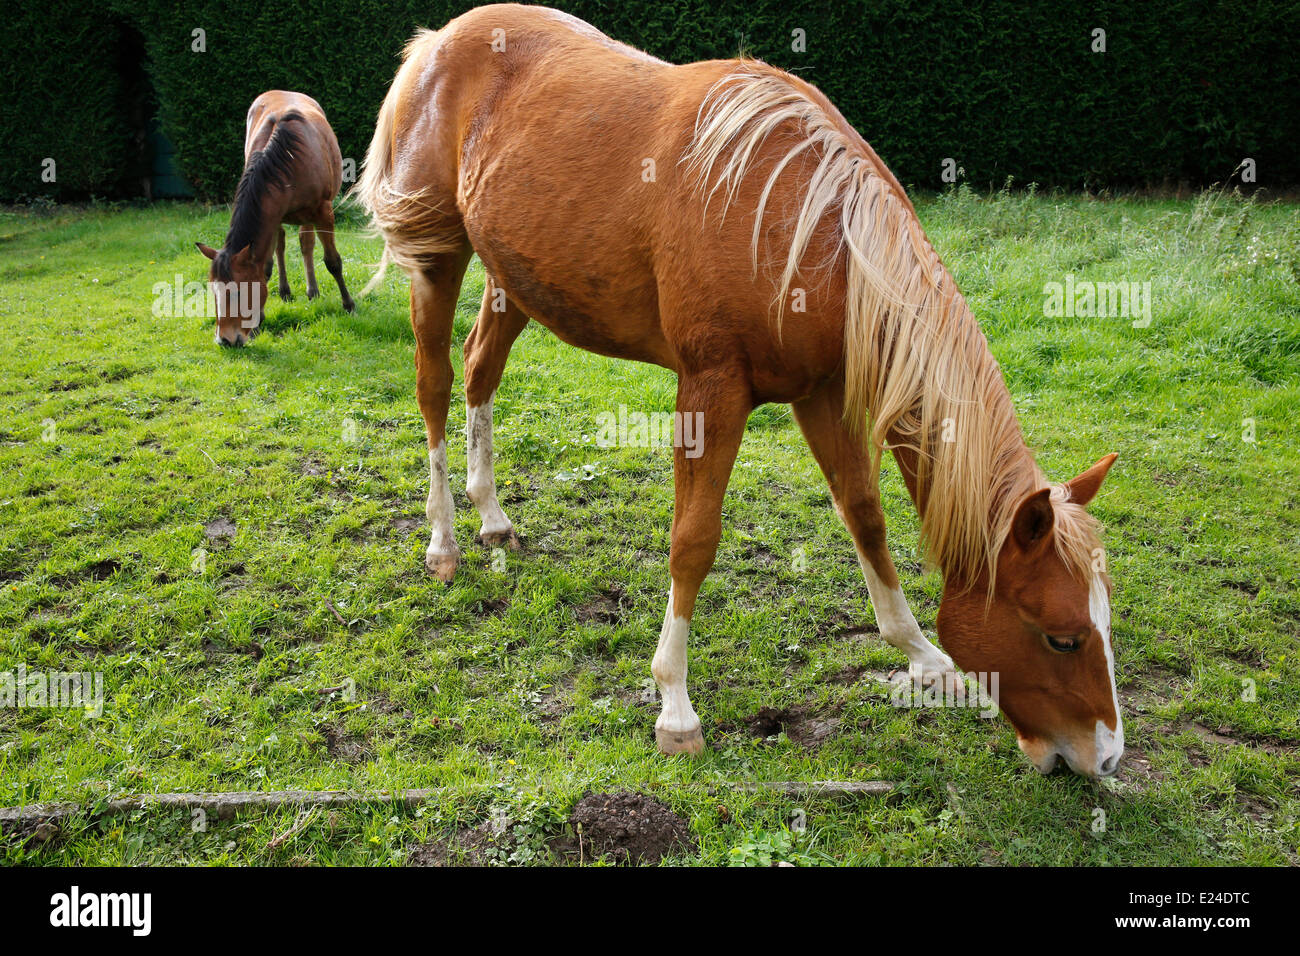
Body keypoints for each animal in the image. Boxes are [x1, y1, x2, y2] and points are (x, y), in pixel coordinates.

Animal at [196, 90, 355, 347]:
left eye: (238, 292)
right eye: (213, 292)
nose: (225, 340)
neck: (285, 158)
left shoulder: (324, 211)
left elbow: (332, 261)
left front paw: (349, 305)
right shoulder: (270, 215)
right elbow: (265, 266)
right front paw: (258, 323)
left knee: (306, 244)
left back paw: (312, 291)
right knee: (282, 247)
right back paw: (286, 290)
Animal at [357, 4, 1124, 778]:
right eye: (1061, 636)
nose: (1106, 758)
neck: (809, 225)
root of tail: (437, 42)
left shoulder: (821, 393)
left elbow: (865, 515)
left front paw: (925, 657)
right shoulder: (711, 389)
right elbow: (693, 540)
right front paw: (674, 705)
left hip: (512, 279)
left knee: (480, 373)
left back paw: (492, 517)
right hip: (439, 259)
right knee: (435, 388)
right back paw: (445, 542)